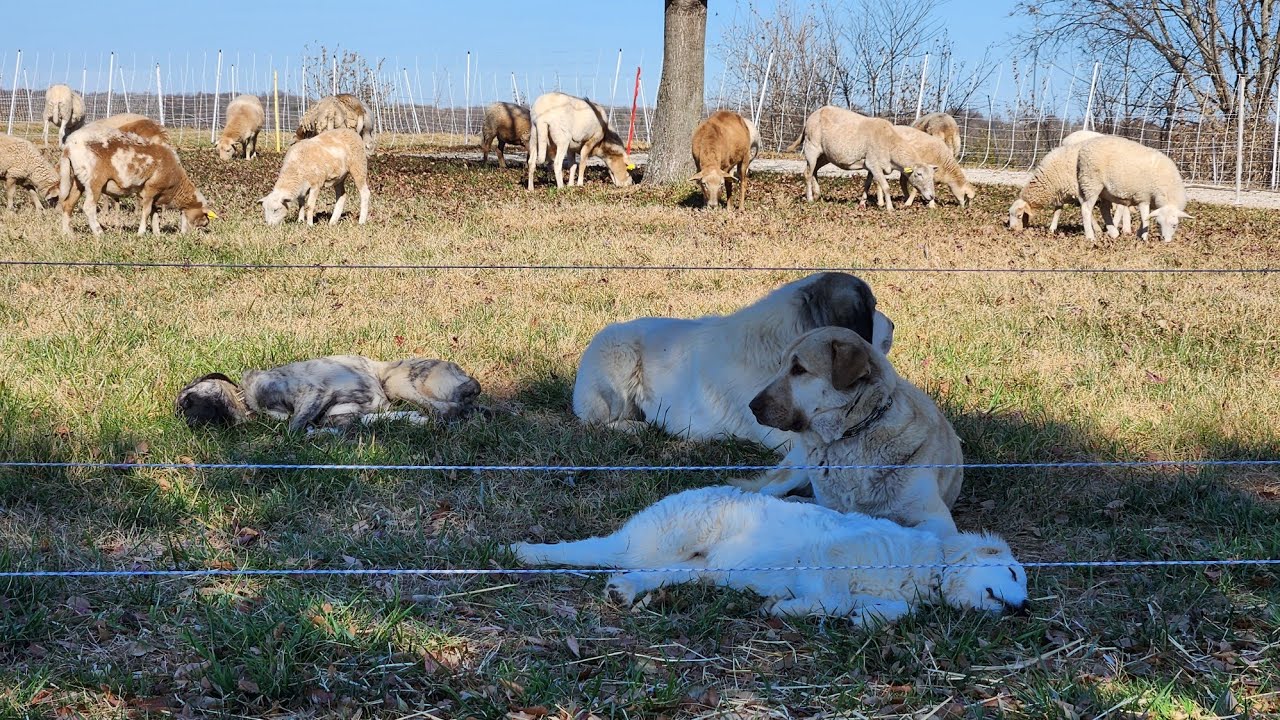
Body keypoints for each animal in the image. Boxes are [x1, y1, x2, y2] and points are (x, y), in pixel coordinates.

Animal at [59, 124, 214, 236]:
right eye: (203, 221)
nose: (187, 236)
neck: (176, 186)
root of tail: (69, 146)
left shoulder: (156, 195)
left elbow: (155, 214)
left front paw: (157, 234)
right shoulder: (151, 188)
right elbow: (146, 212)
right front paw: (141, 233)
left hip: (78, 179)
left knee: (68, 204)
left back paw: (68, 233)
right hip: (94, 180)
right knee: (89, 207)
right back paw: (99, 232)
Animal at [788, 105, 936, 211]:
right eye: (918, 174)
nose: (932, 196)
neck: (890, 144)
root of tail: (811, 117)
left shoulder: (870, 165)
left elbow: (867, 184)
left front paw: (862, 203)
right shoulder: (874, 163)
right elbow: (886, 186)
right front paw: (889, 208)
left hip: (825, 154)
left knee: (814, 171)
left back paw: (818, 194)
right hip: (811, 147)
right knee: (807, 173)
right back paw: (810, 198)